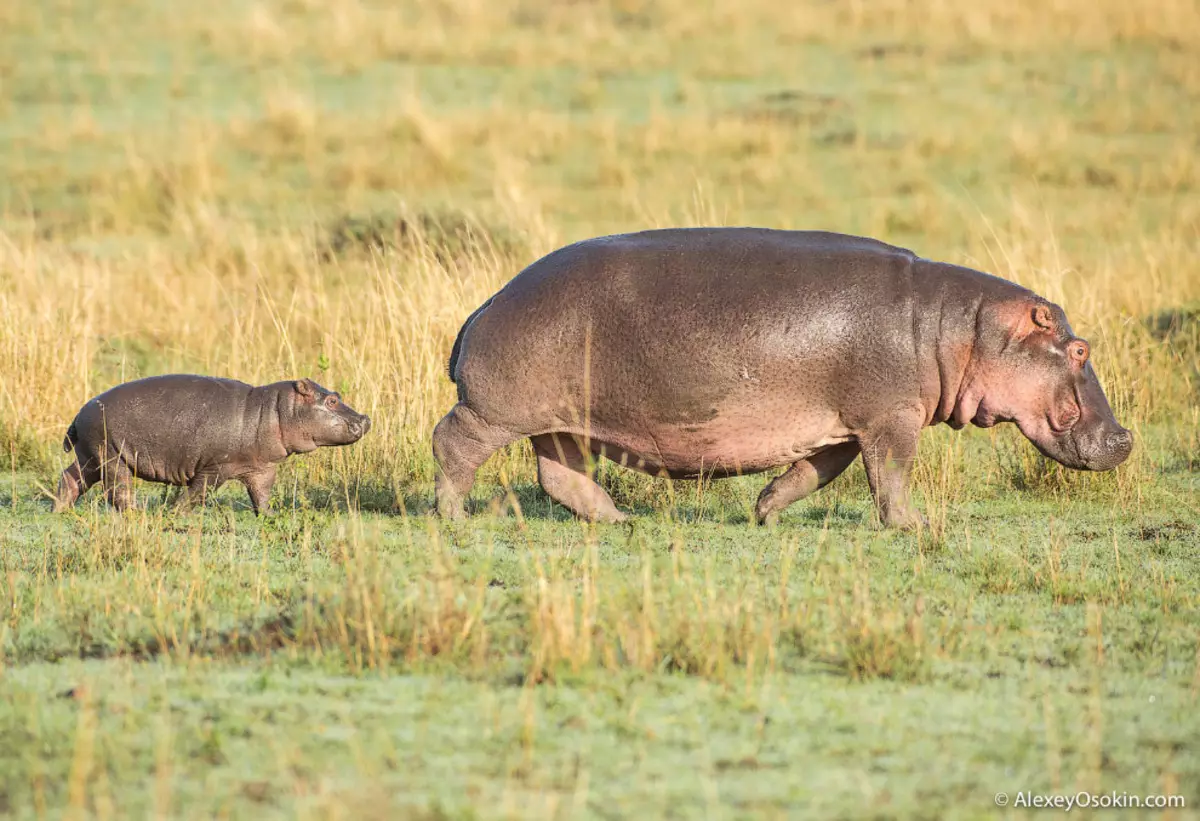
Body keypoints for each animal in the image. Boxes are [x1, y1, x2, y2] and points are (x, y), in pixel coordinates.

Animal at [54, 376, 369, 516]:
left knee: (70, 478)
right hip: (111, 456)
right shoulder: (216, 467)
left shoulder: (262, 469)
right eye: (331, 400)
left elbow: (262, 496)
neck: (276, 411)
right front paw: (175, 514)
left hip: (90, 456)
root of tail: (79, 414)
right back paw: (136, 514)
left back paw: (60, 510)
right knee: (118, 491)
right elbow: (197, 494)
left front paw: (270, 517)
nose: (365, 419)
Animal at [434, 228, 1132, 528]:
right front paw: (913, 527)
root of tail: (485, 305)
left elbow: (814, 473)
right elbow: (892, 475)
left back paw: (618, 520)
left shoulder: (843, 427)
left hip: (559, 422)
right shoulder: (890, 418)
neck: (960, 328)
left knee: (561, 475)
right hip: (496, 410)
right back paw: (454, 517)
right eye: (1079, 349)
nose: (1125, 438)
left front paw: (764, 511)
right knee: (453, 444)